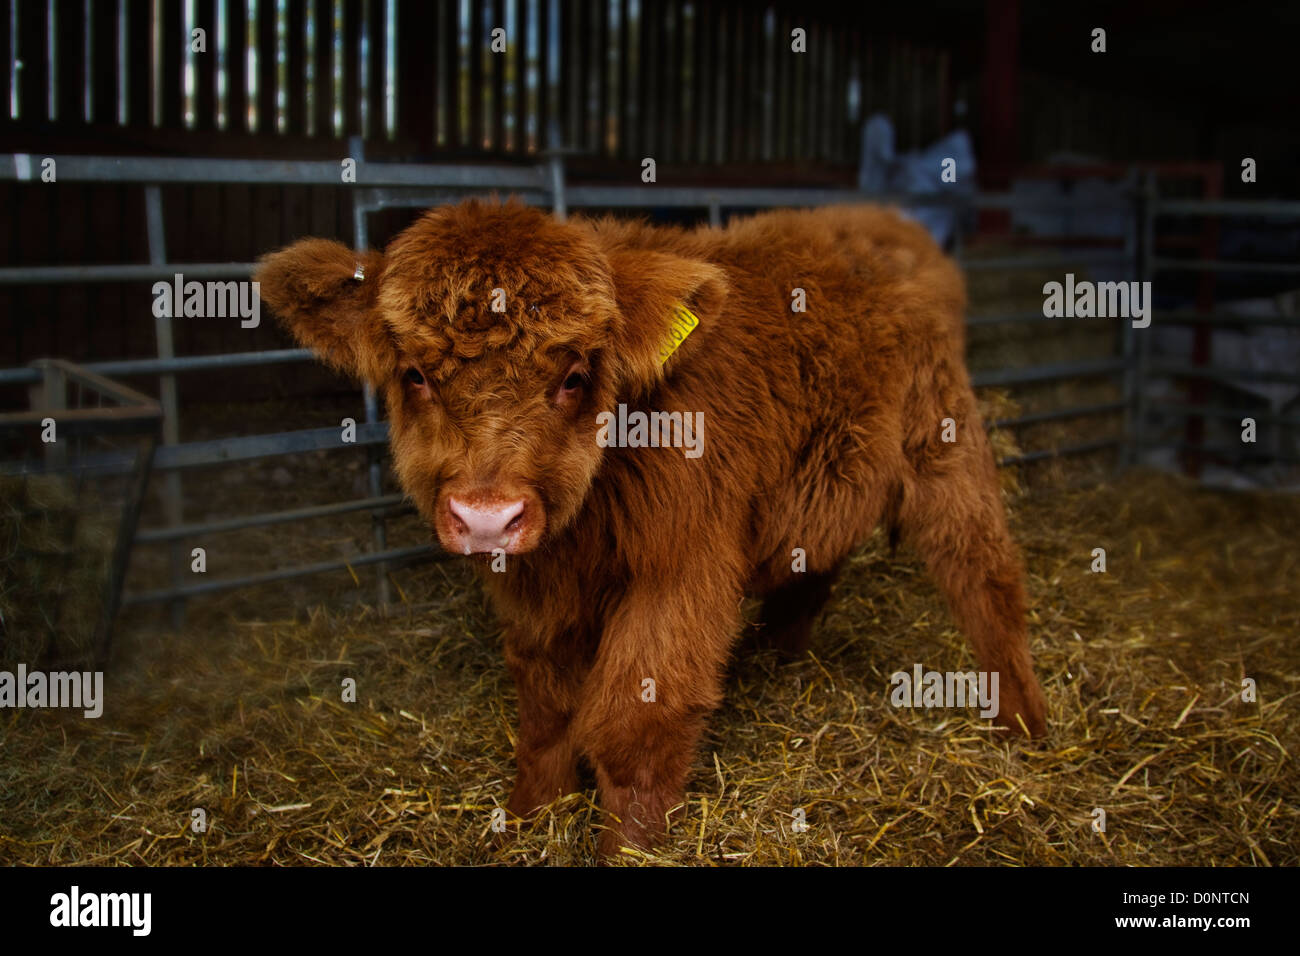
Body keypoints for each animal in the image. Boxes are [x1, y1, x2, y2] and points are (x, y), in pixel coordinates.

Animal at [256, 198, 1048, 857]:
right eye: (416, 374)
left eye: (575, 376)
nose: (488, 516)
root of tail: (886, 221)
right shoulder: (536, 594)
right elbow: (545, 708)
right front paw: (531, 815)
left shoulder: (678, 571)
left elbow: (633, 724)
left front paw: (628, 847)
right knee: (817, 565)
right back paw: (781, 655)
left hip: (945, 448)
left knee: (986, 578)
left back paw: (1024, 723)